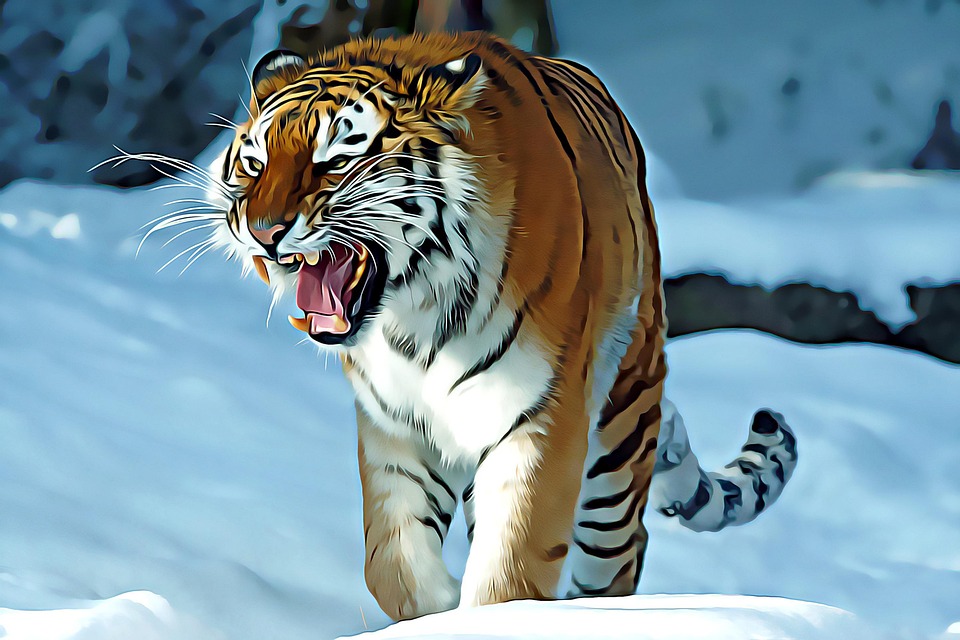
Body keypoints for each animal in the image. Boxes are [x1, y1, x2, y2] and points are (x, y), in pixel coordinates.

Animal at [178, 32, 798, 620]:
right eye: (255, 164)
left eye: (333, 160)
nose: (261, 230)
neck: (412, 316)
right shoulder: (394, 427)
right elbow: (393, 565)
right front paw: (439, 608)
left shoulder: (539, 418)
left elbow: (512, 570)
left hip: (619, 440)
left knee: (619, 557)